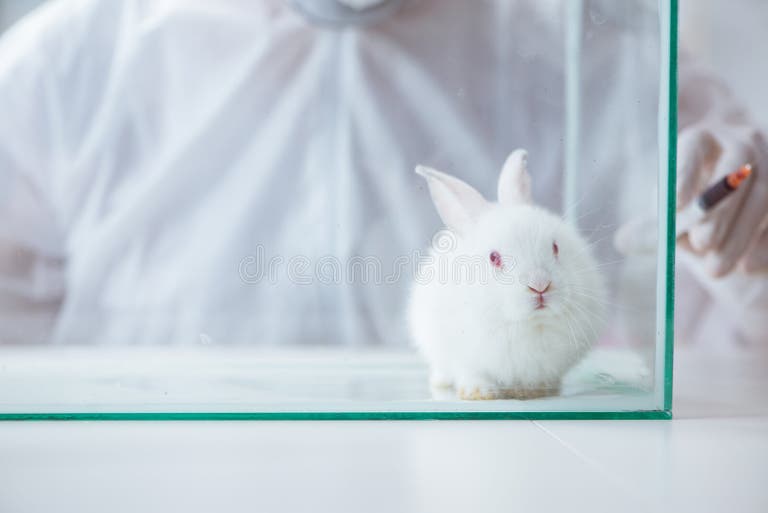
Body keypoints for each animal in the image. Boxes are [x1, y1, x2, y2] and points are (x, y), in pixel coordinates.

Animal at [408, 149, 606, 400]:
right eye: (494, 258)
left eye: (555, 247)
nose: (540, 285)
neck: (526, 324)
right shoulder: (463, 356)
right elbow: (472, 373)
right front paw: (479, 393)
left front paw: (537, 391)